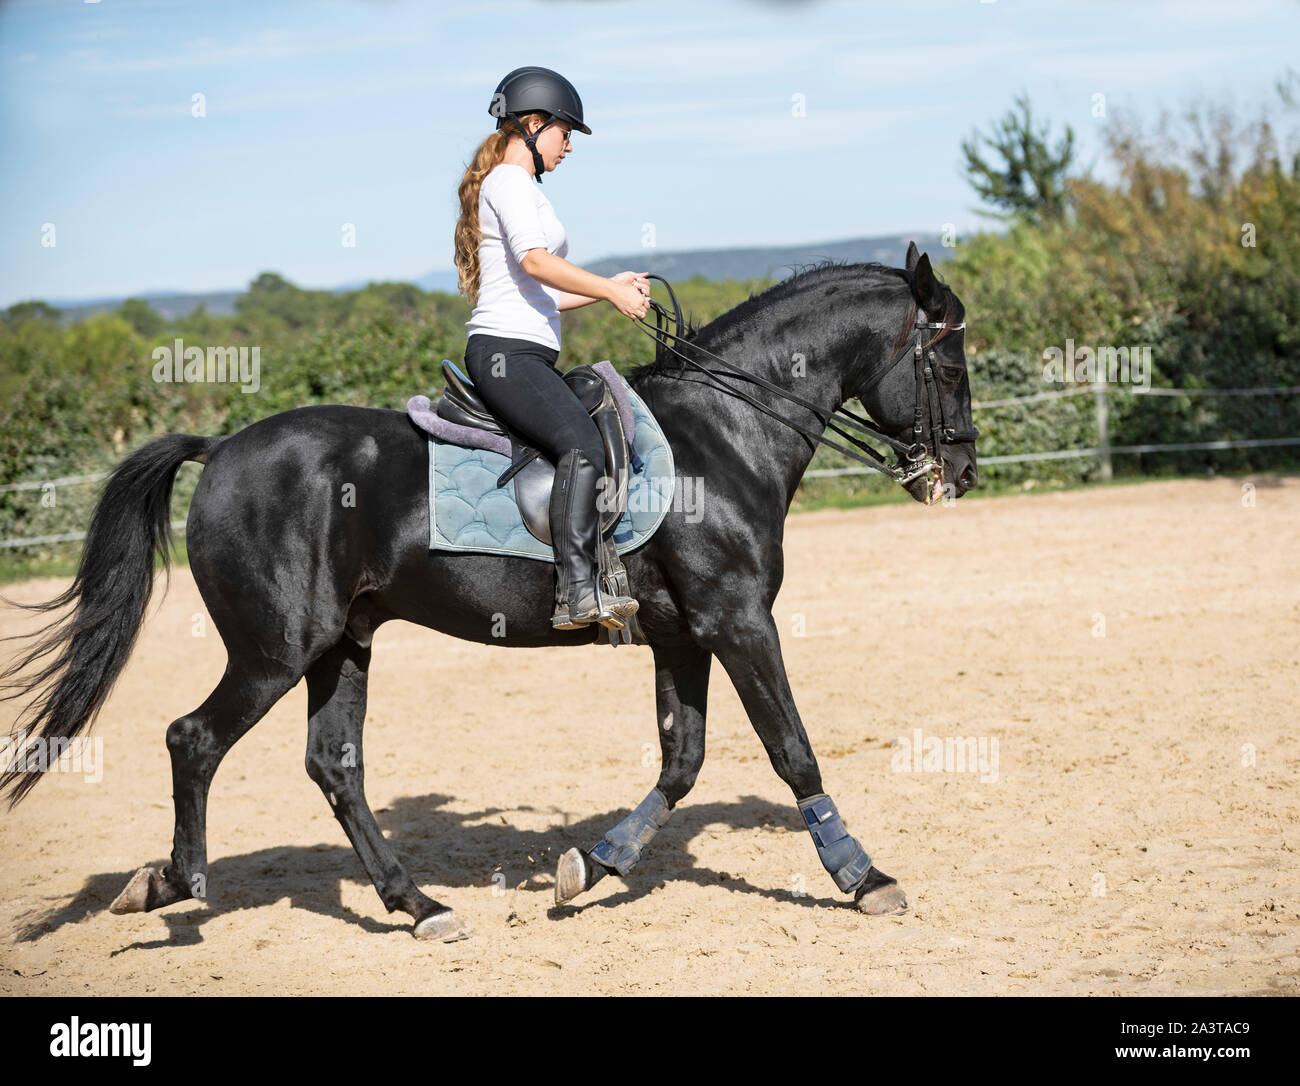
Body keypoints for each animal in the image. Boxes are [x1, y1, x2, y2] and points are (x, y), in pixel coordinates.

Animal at [0, 245, 977, 941]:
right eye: (949, 363)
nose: (961, 472)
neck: (724, 432)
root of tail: (223, 447)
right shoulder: (737, 621)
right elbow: (793, 752)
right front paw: (864, 878)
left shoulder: (683, 634)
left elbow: (682, 761)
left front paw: (593, 866)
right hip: (276, 649)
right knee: (194, 740)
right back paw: (174, 884)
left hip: (343, 643)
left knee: (333, 766)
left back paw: (419, 906)